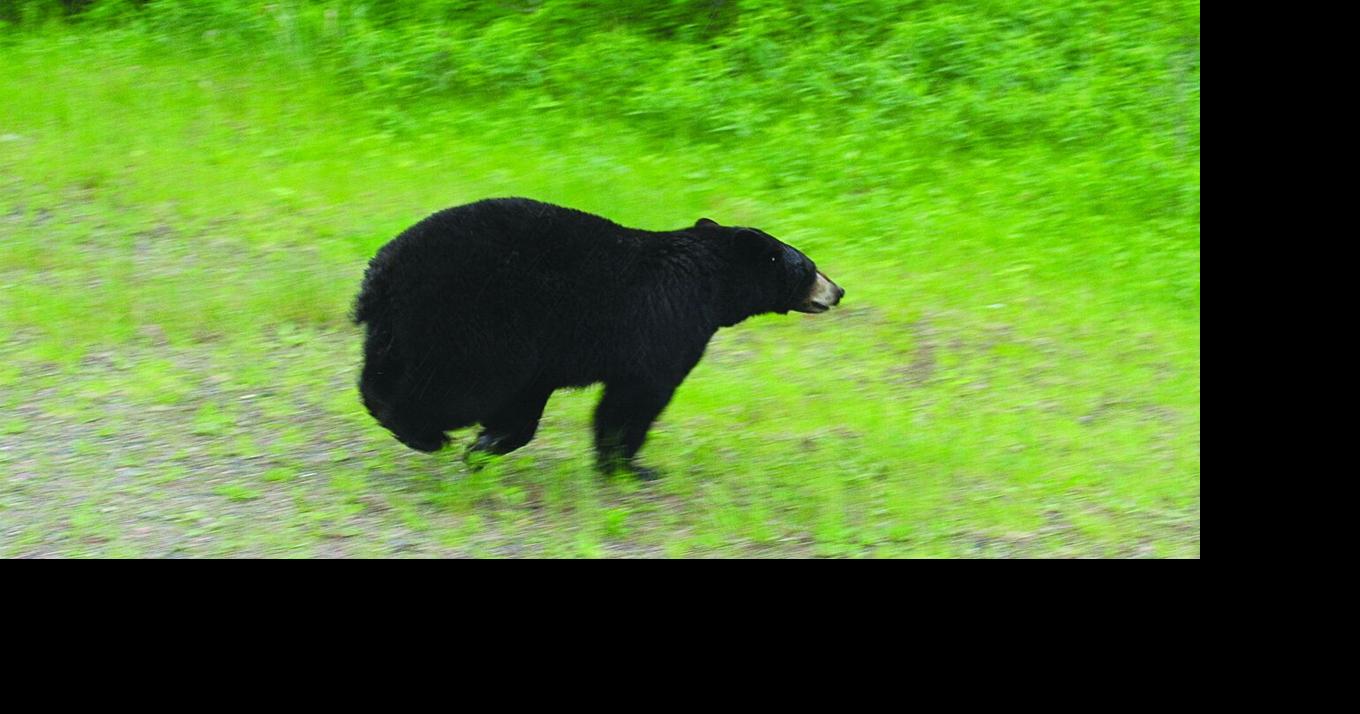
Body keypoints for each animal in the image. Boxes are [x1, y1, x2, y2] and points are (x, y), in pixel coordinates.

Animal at [352, 197, 843, 479]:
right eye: (809, 267)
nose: (837, 291)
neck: (710, 284)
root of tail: (384, 271)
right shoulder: (664, 325)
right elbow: (636, 397)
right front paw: (630, 466)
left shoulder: (549, 353)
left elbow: (524, 406)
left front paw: (487, 445)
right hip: (474, 320)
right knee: (458, 384)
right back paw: (421, 432)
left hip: (404, 327)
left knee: (382, 370)